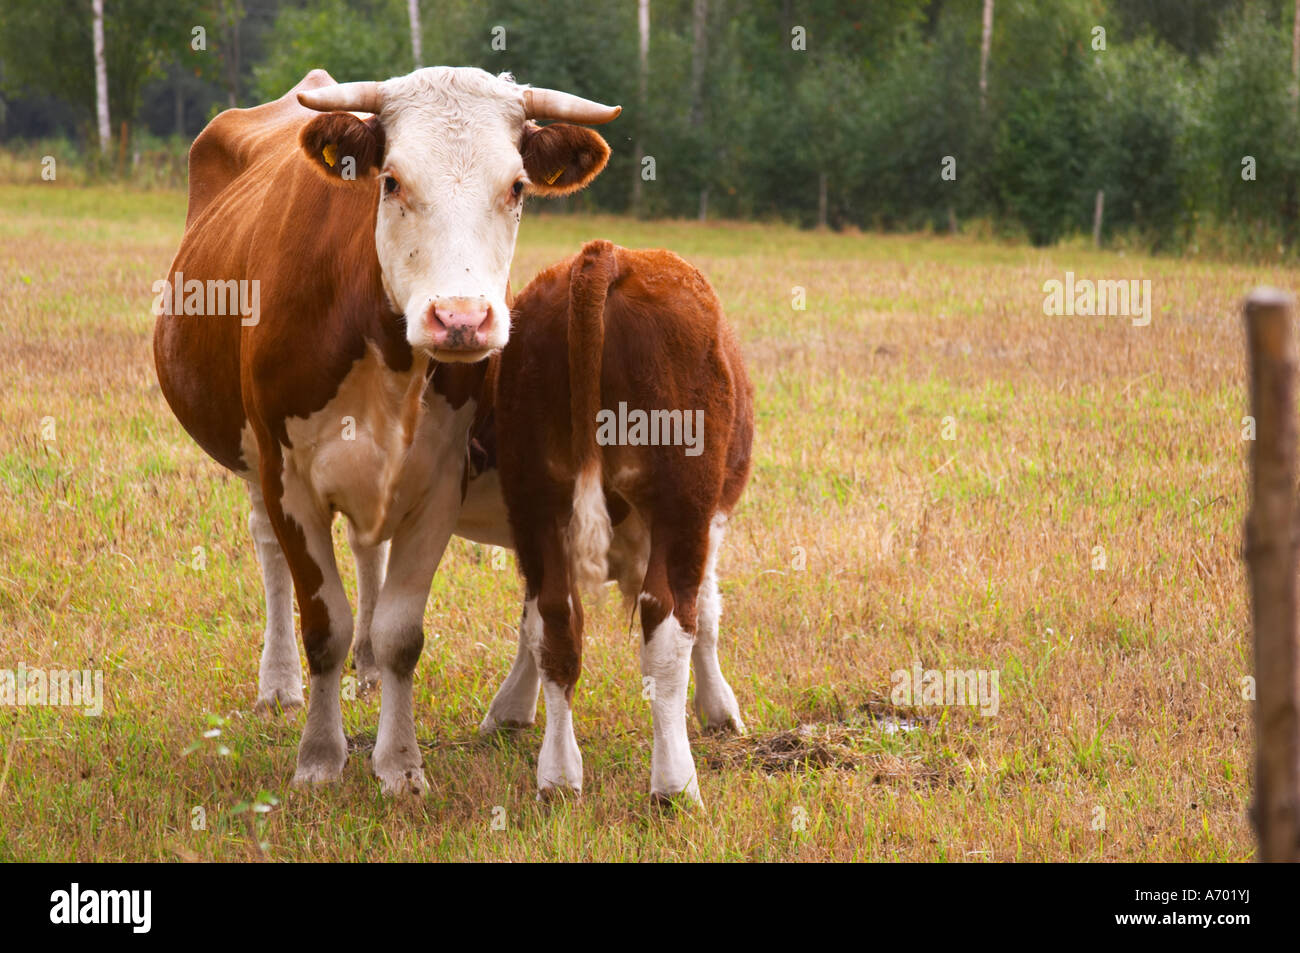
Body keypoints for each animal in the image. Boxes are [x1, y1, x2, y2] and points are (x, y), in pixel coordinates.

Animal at [152, 67, 619, 794]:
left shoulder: (439, 482)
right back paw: (278, 683)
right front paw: (319, 757)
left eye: (517, 186)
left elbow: (403, 632)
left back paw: (366, 666)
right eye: (393, 180)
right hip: (251, 457)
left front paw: (399, 763)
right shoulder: (289, 477)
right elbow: (324, 626)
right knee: (268, 552)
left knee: (367, 552)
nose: (461, 319)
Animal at [450, 240, 755, 804]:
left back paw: (558, 776)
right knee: (666, 623)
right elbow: (708, 614)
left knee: (556, 619)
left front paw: (510, 711)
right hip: (684, 501)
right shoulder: (710, 522)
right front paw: (720, 709)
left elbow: (531, 621)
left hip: (537, 494)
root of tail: (609, 255)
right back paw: (675, 784)